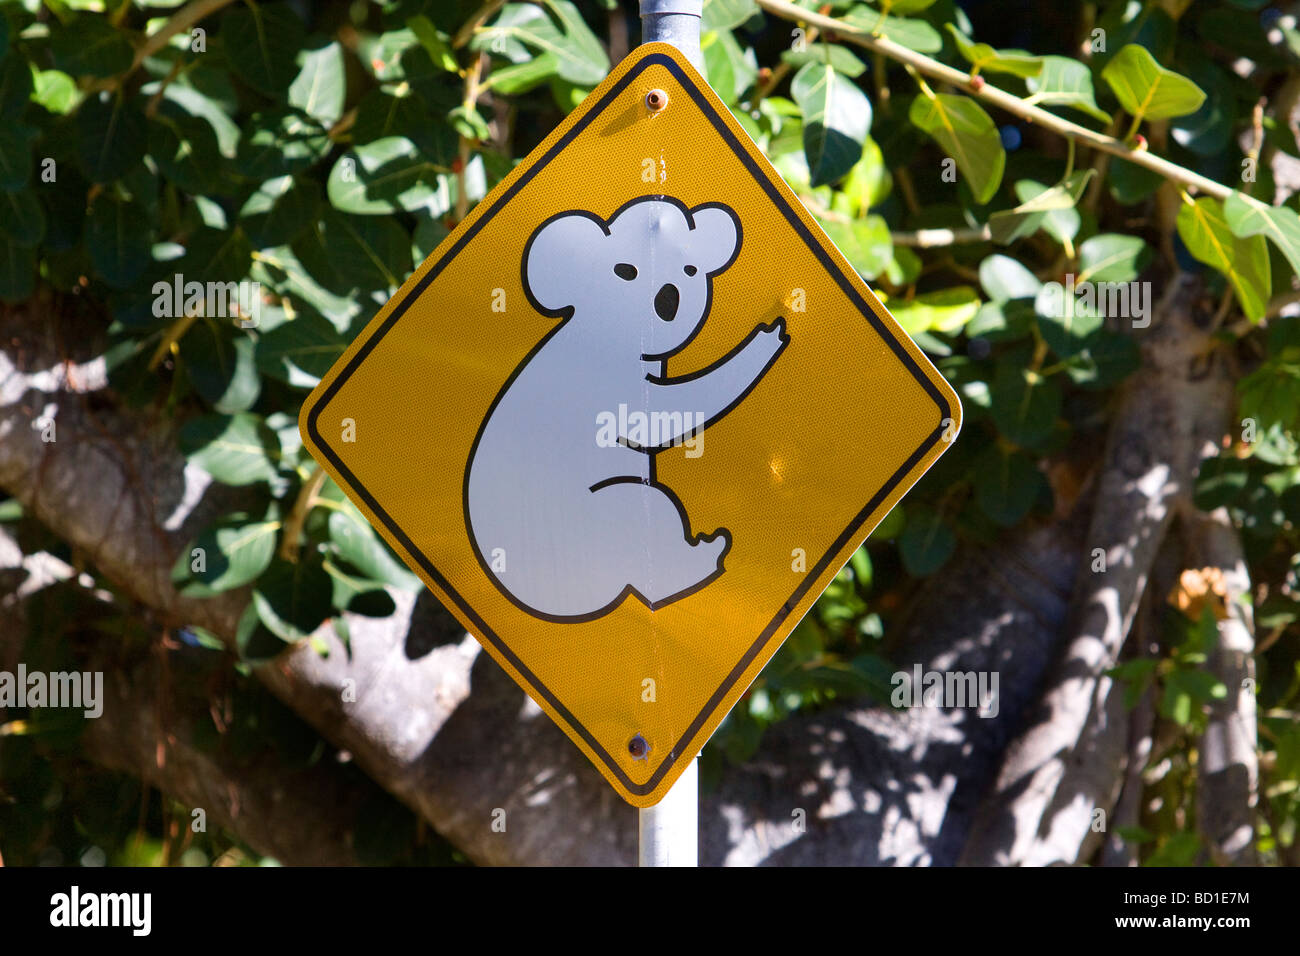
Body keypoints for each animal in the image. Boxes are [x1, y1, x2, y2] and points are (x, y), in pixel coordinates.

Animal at [465, 195, 788, 621]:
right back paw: (701, 560)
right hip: (602, 521)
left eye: (689, 270)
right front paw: (761, 344)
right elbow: (660, 415)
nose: (668, 298)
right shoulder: (608, 377)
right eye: (625, 271)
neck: (604, 331)